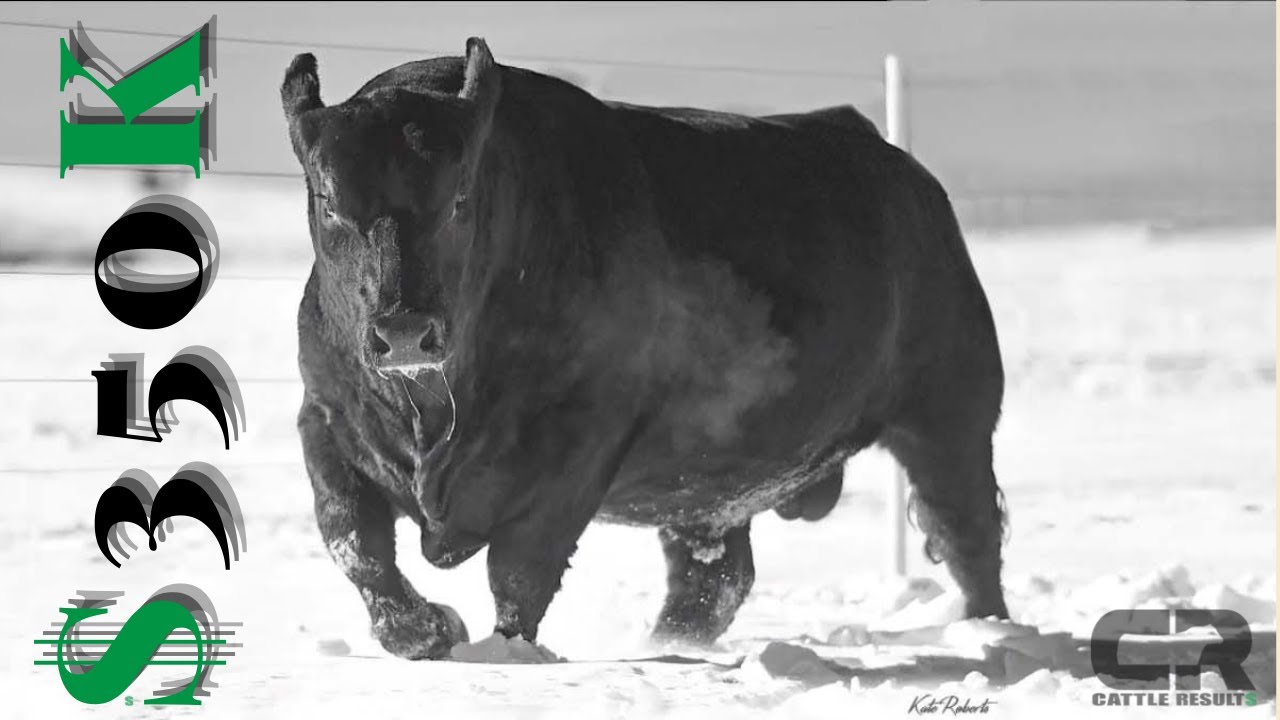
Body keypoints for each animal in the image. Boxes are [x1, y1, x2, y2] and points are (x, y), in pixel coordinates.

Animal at [281, 38, 1009, 660]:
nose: (405, 330)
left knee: (967, 534)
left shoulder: (575, 450)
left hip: (948, 417)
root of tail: (899, 168)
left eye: (459, 200)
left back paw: (992, 632)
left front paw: (503, 652)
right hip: (710, 481)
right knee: (715, 577)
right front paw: (427, 631)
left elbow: (519, 570)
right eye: (328, 200)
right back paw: (665, 643)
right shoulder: (325, 417)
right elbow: (352, 538)